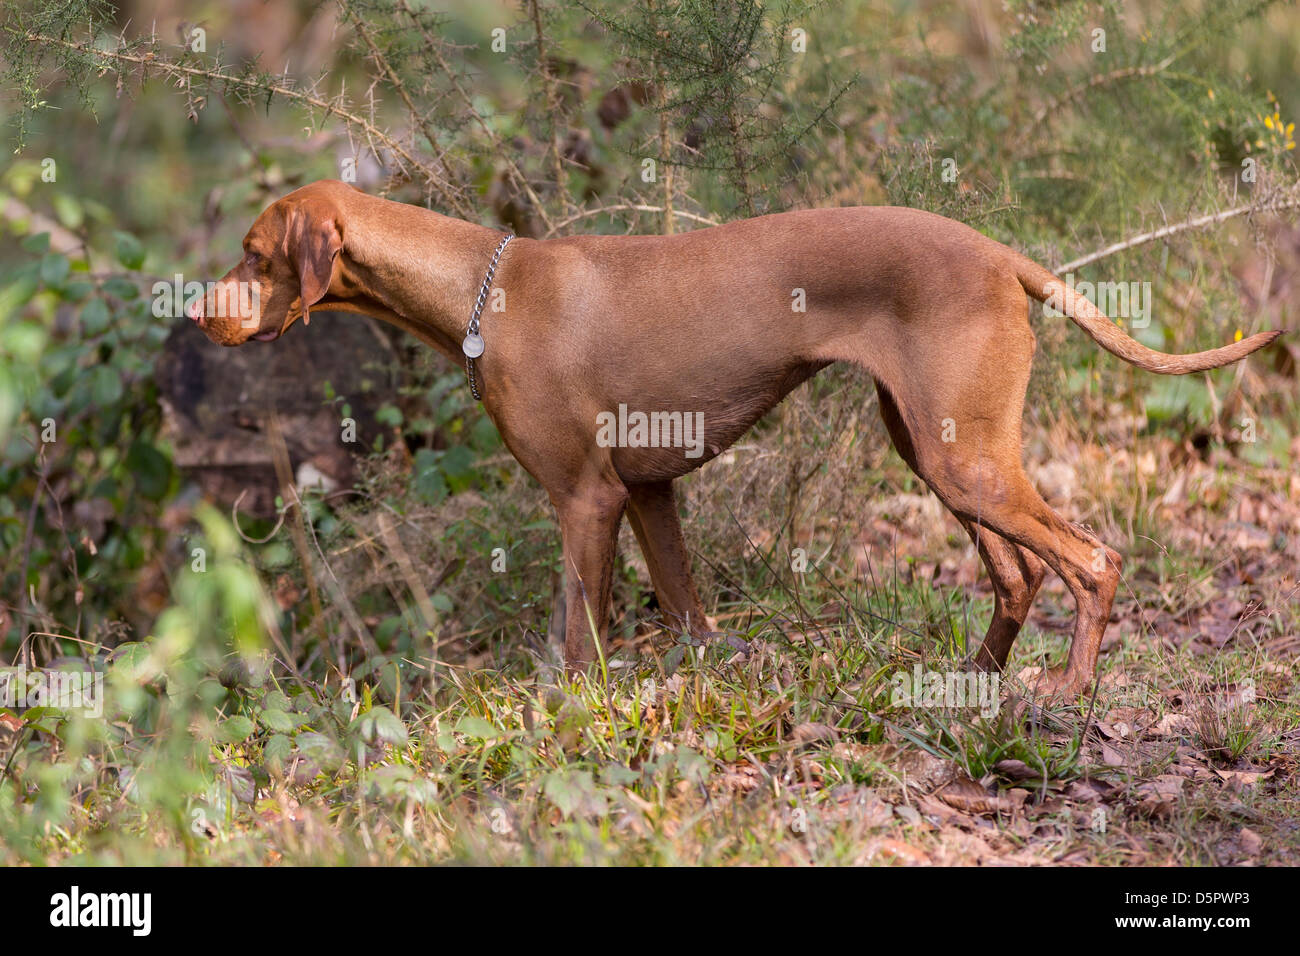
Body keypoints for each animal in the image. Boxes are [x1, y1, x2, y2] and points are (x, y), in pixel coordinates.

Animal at [189, 180, 1279, 697]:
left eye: (252, 254)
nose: (197, 312)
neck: (482, 290)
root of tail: (998, 252)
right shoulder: (646, 492)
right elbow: (689, 616)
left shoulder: (585, 498)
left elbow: (576, 645)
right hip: (938, 449)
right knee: (1018, 574)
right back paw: (973, 679)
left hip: (964, 460)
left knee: (1091, 559)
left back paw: (1070, 691)